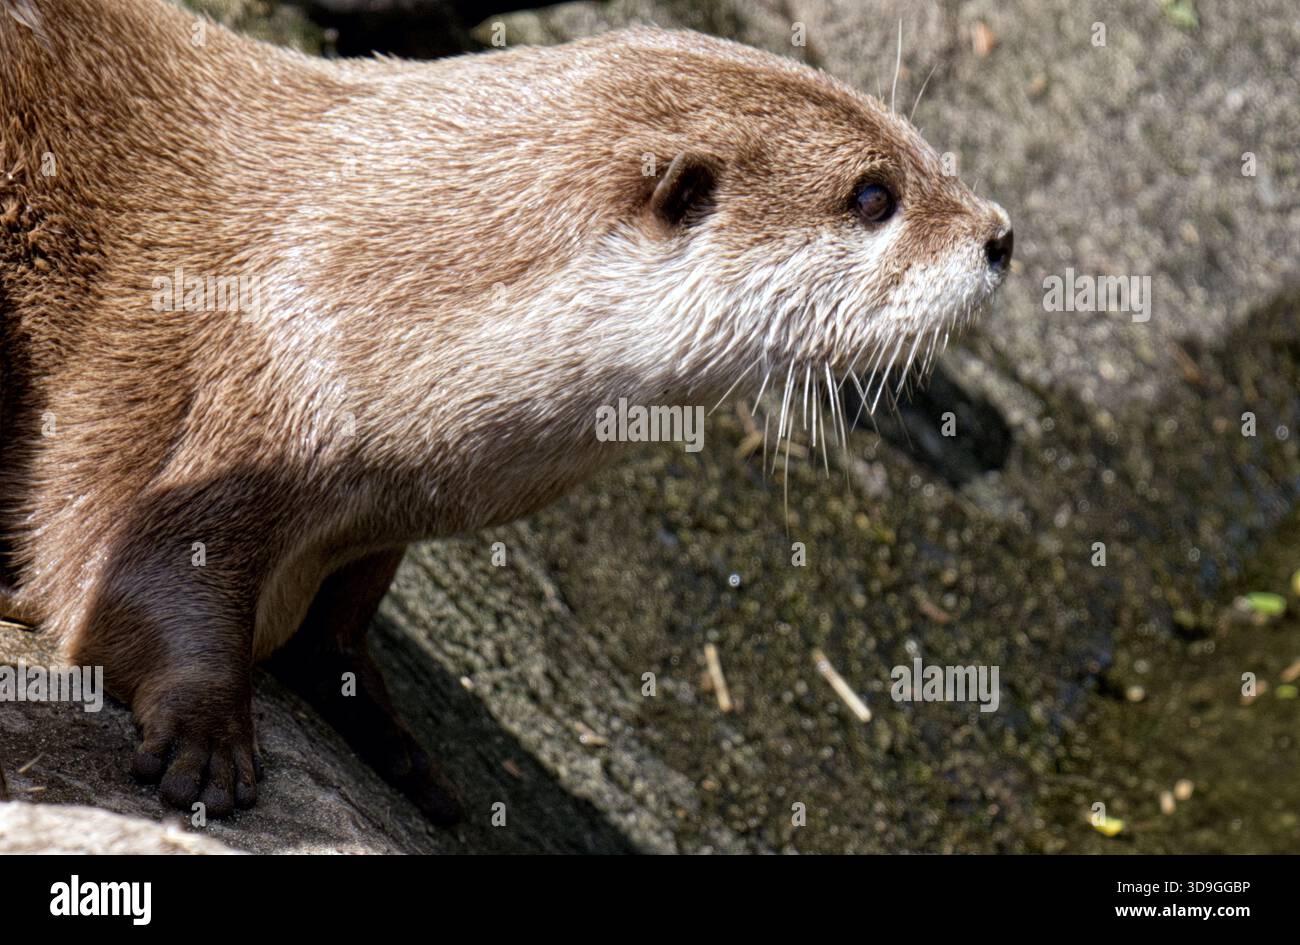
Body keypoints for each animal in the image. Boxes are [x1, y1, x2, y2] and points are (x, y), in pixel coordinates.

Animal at [0, 0, 1012, 822]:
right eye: (873, 194)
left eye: (922, 144)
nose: (1000, 235)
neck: (378, 285)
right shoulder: (242, 384)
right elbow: (131, 569)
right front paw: (208, 740)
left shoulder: (375, 515)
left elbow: (344, 619)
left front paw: (396, 741)